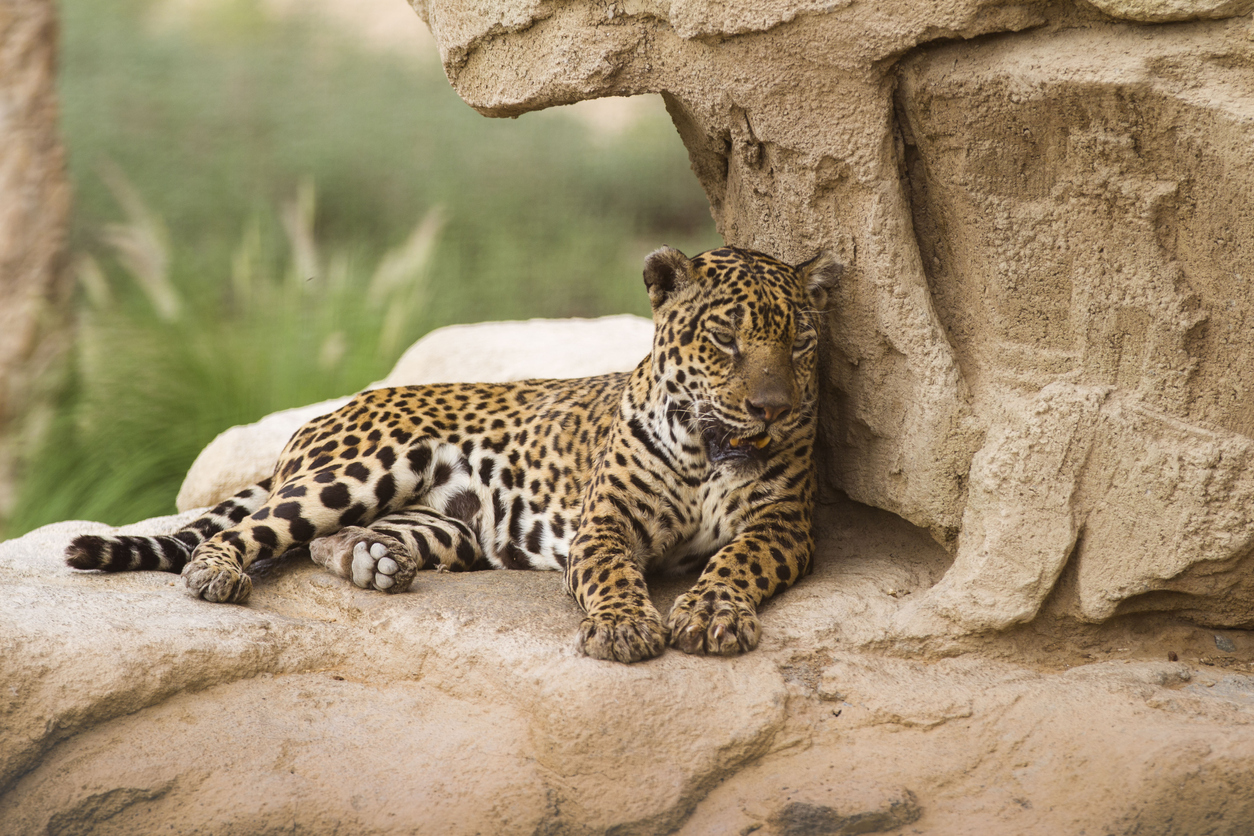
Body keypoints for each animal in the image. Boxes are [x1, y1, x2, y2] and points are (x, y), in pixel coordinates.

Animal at [65, 245, 841, 663]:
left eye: (802, 340)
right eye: (724, 339)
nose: (774, 408)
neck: (709, 452)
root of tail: (325, 414)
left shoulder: (782, 526)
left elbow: (737, 560)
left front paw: (711, 612)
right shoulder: (605, 524)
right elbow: (614, 572)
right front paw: (623, 627)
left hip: (448, 527)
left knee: (328, 542)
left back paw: (375, 562)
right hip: (363, 468)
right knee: (248, 531)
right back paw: (217, 575)